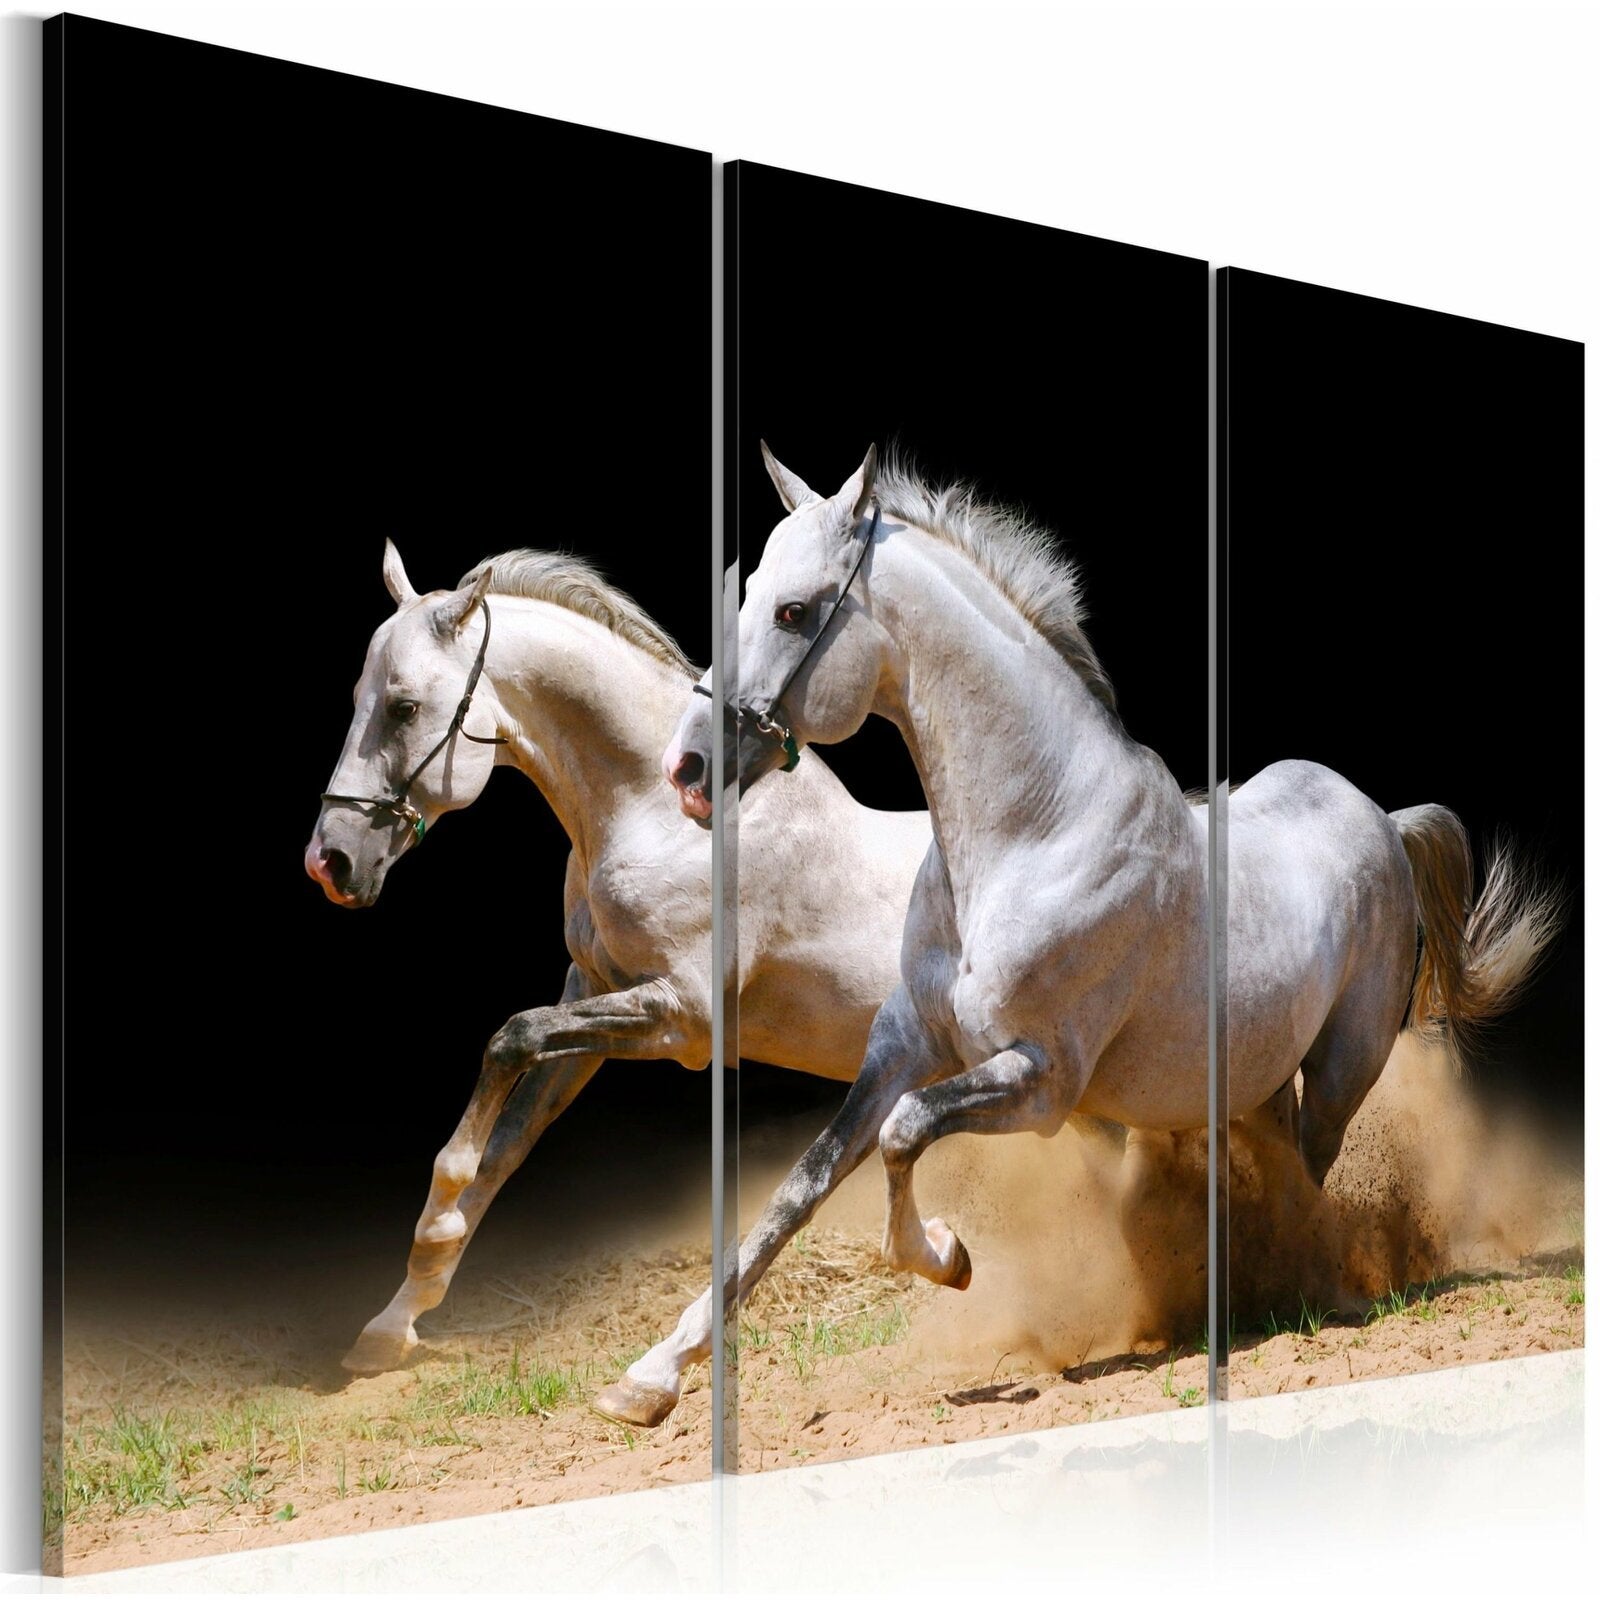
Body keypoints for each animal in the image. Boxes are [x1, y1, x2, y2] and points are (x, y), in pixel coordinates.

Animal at [305, 541, 930, 1424]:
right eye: (359, 699)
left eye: (401, 707)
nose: (329, 861)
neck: (658, 815)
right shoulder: (589, 996)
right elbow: (507, 1142)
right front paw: (393, 1324)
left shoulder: (680, 1021)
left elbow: (507, 1043)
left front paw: (433, 1232)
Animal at [647, 441, 1560, 1403]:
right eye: (746, 594)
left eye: (793, 611)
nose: (686, 768)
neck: (1034, 833)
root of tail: (1385, 818)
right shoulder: (903, 1045)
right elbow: (804, 1184)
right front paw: (649, 1380)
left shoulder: (1041, 1081)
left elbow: (904, 1135)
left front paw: (948, 1255)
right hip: (1257, 1076)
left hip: (1343, 1070)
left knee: (1310, 1176)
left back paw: (1289, 1287)